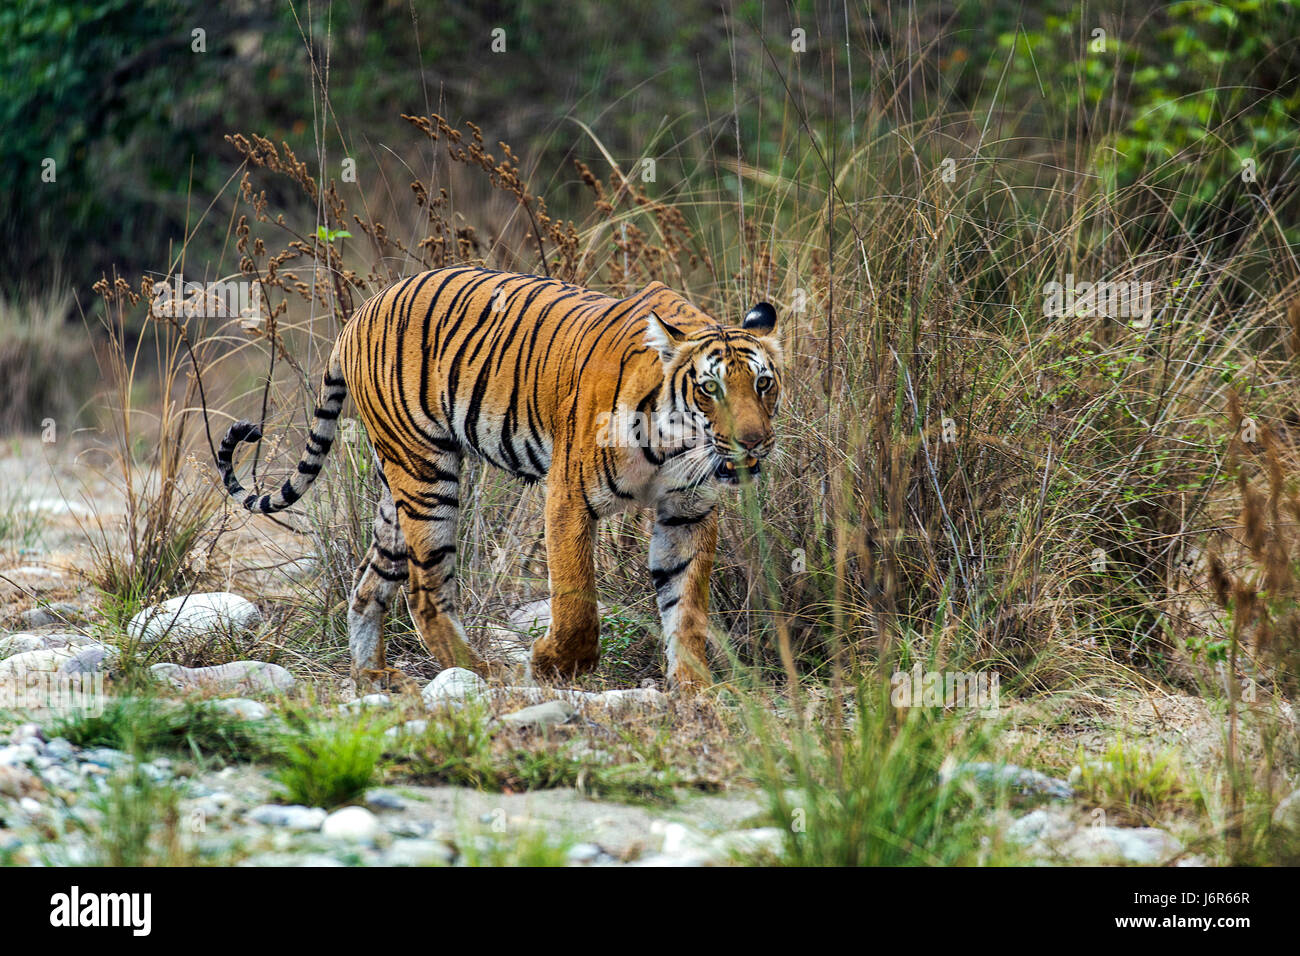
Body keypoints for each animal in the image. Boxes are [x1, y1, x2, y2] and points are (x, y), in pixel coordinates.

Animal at [216, 266, 782, 693]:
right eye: (709, 388)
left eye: (763, 384)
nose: (753, 443)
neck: (675, 444)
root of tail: (360, 311)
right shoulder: (569, 497)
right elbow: (576, 602)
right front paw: (550, 665)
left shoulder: (689, 512)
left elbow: (687, 608)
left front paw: (696, 689)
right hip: (427, 474)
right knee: (425, 590)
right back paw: (484, 672)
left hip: (394, 490)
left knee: (368, 583)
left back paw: (373, 678)